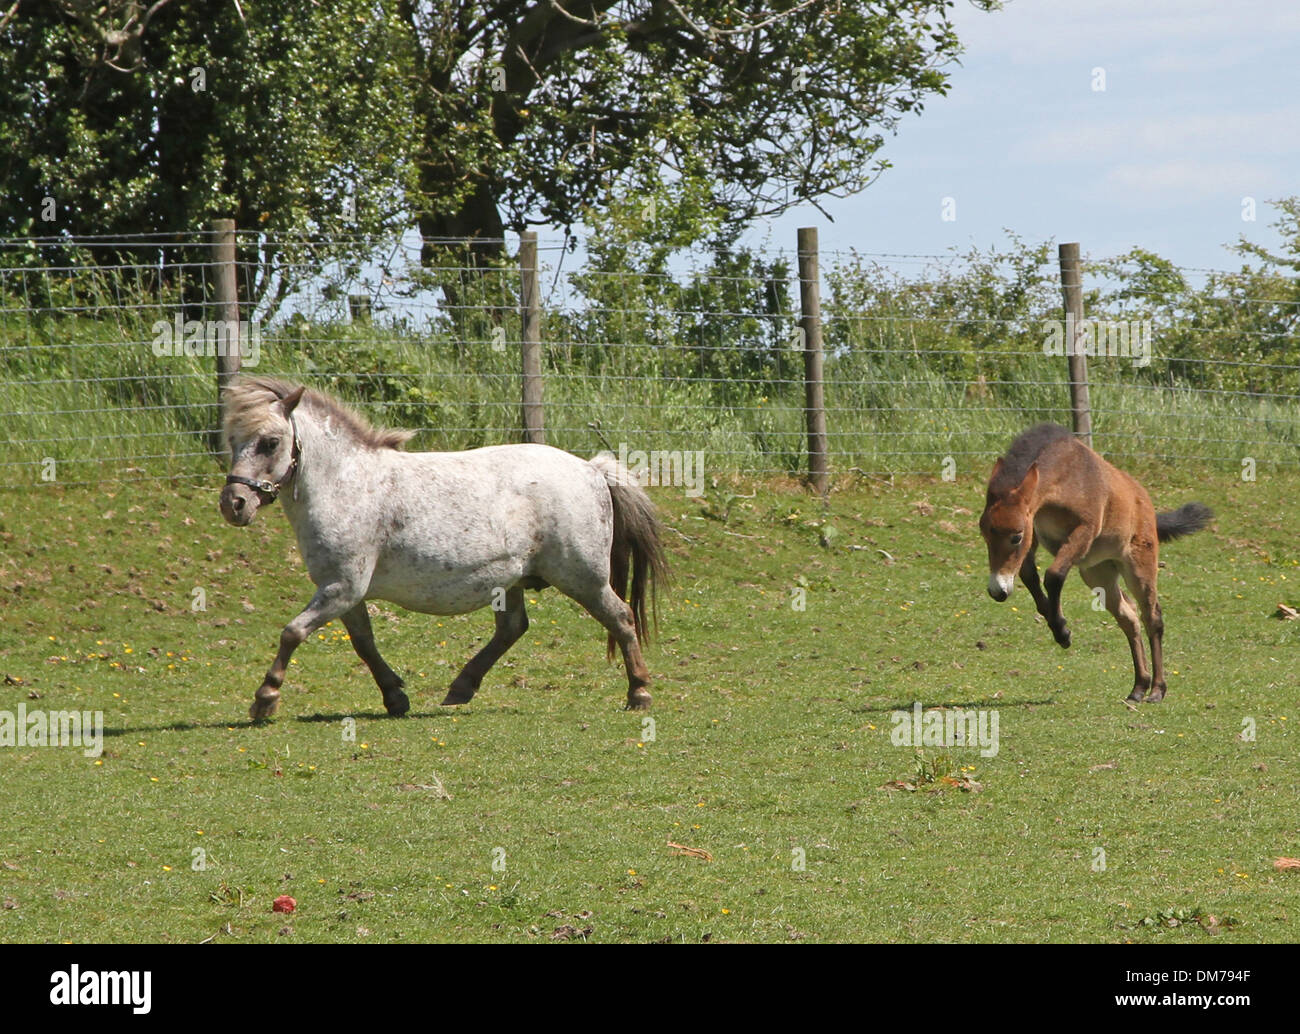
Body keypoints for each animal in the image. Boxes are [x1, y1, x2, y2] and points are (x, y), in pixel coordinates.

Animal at [217, 377, 669, 719]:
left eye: (270, 442)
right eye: (233, 440)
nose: (233, 504)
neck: (347, 485)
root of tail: (591, 469)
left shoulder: (341, 588)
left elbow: (292, 632)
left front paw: (265, 699)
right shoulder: (344, 591)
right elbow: (364, 644)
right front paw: (395, 697)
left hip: (583, 578)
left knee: (621, 617)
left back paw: (639, 692)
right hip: (512, 581)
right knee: (513, 629)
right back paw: (461, 687)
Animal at [979, 423, 1212, 703]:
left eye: (1015, 536)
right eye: (983, 532)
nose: (997, 592)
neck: (1067, 474)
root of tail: (1144, 501)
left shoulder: (1085, 530)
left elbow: (1053, 575)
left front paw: (1062, 633)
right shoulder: (1034, 534)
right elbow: (1030, 577)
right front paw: (1060, 628)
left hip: (1139, 567)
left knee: (1152, 617)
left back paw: (1157, 689)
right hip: (1098, 573)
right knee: (1128, 617)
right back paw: (1138, 687)